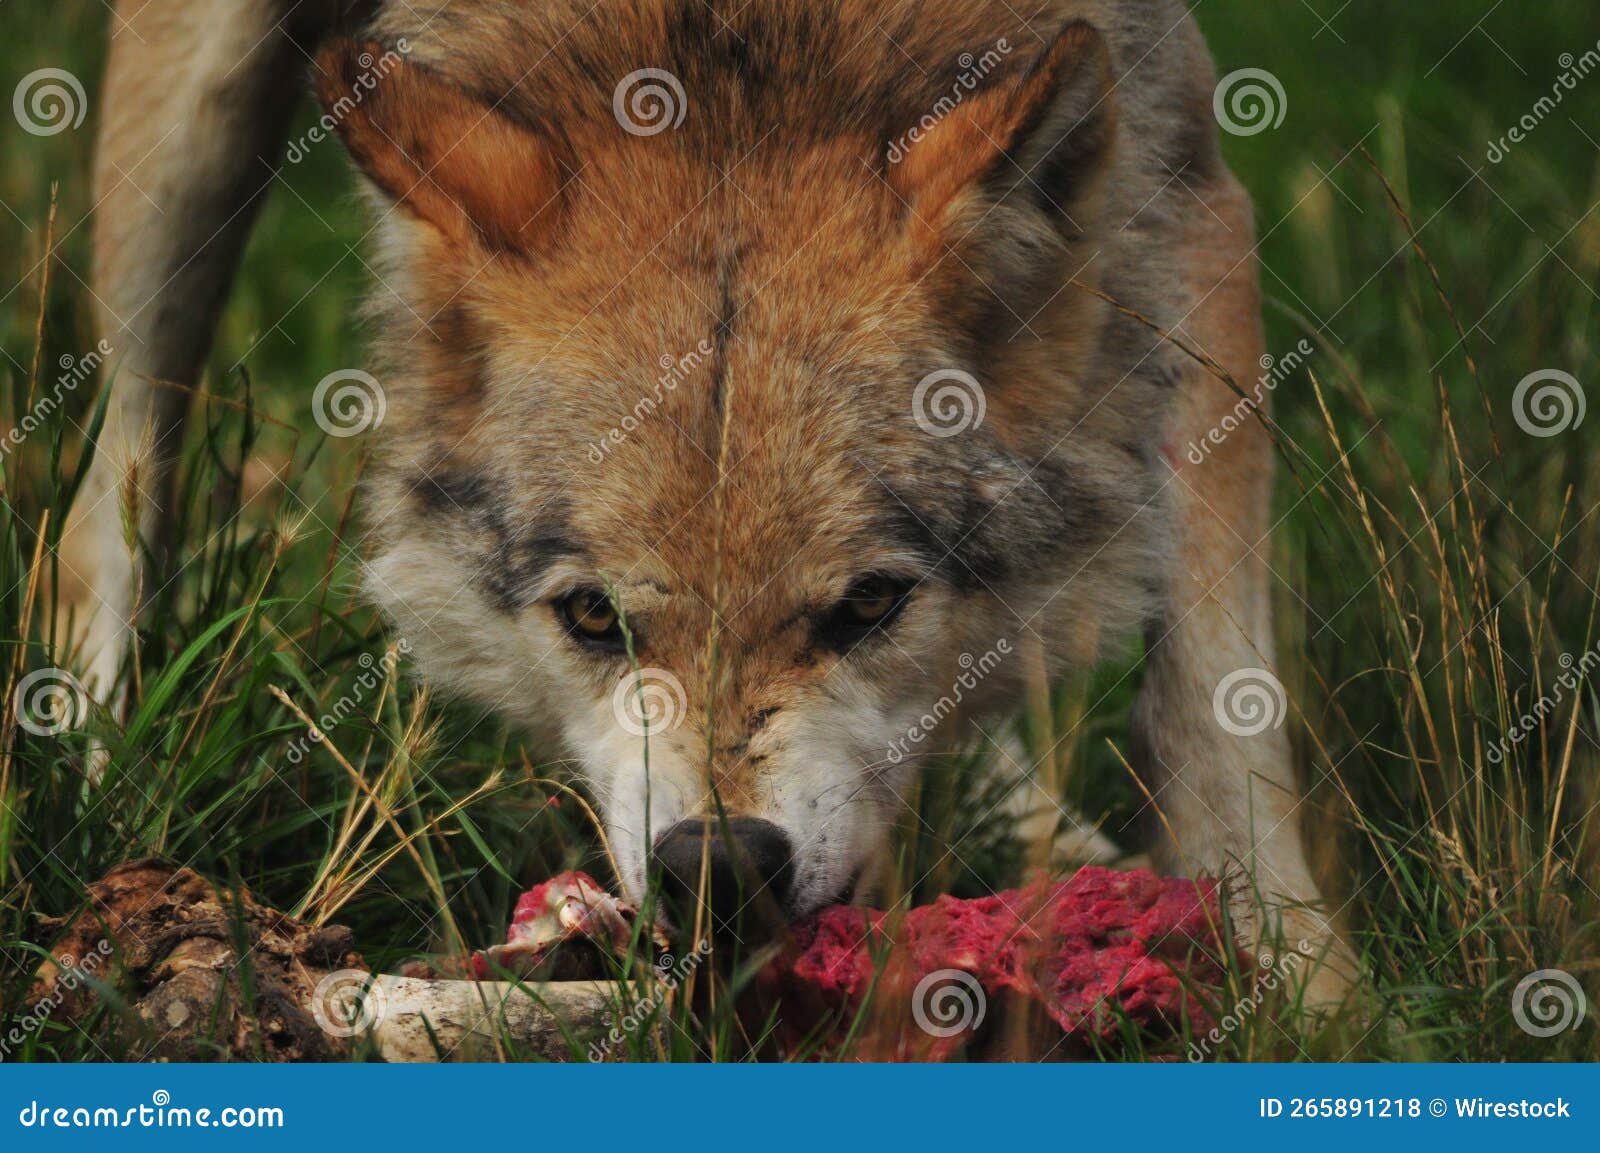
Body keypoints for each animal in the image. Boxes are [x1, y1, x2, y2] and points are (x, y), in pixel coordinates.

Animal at [69, 0, 1347, 995]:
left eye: (869, 605)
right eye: (593, 617)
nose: (718, 867)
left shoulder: (1189, 197)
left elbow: (1214, 698)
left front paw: (1301, 986)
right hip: (193, 121)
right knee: (107, 479)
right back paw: (86, 783)